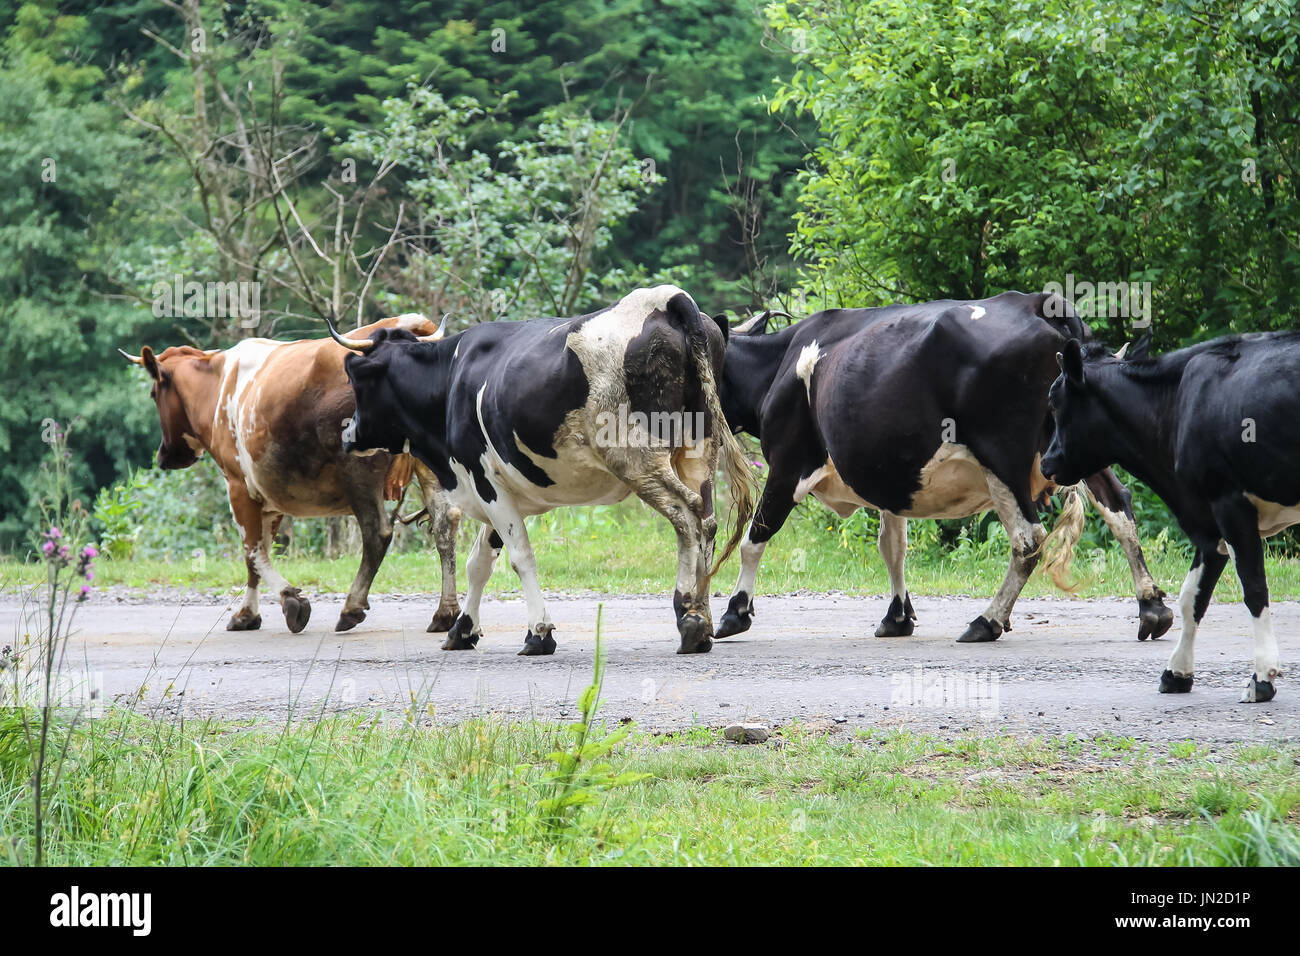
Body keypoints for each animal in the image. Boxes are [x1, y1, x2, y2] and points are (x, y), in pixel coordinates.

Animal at [122, 314, 462, 634]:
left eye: (154, 394)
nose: (164, 456)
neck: (217, 383)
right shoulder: (269, 498)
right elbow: (258, 553)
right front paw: (248, 614)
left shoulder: (238, 485)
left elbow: (252, 551)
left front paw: (290, 601)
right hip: (431, 466)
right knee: (446, 523)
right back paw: (445, 613)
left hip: (359, 471)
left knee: (377, 532)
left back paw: (351, 608)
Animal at [328, 285, 753, 656]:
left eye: (357, 380)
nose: (347, 433)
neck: (452, 379)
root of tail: (665, 299)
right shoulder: (501, 489)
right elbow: (479, 563)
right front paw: (462, 630)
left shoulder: (485, 481)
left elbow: (520, 556)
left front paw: (538, 633)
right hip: (698, 454)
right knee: (708, 522)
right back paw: (702, 619)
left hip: (636, 459)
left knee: (687, 517)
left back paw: (689, 616)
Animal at [713, 291, 1174, 645]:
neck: (780, 364)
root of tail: (1037, 303)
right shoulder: (890, 477)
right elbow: (893, 547)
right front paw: (897, 617)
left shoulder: (788, 463)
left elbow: (756, 536)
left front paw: (735, 613)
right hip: (1078, 446)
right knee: (1120, 510)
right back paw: (1153, 607)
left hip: (1002, 456)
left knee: (1028, 539)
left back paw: (987, 621)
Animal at [1042, 333, 1296, 703]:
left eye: (1054, 402)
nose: (1045, 463)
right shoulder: (1206, 521)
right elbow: (1192, 597)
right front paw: (1177, 672)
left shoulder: (1229, 503)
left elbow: (1254, 588)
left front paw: (1262, 678)